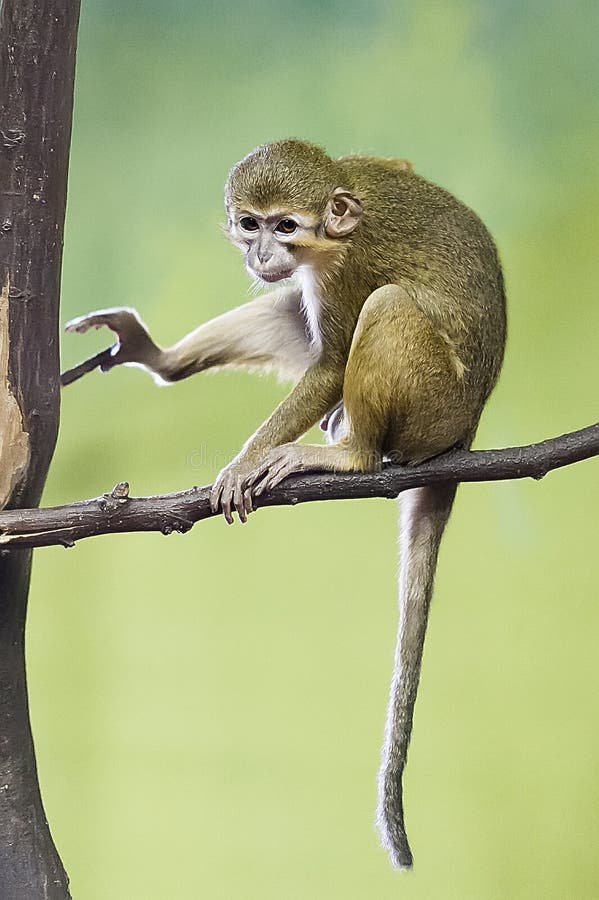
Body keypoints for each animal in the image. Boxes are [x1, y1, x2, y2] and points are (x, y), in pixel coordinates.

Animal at [65, 139, 506, 869]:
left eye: (286, 226)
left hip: (431, 408)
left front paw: (244, 462)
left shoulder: (345, 268)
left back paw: (351, 454)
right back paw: (165, 359)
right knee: (290, 309)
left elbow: (332, 357)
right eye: (251, 224)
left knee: (386, 306)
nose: (263, 254)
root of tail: (467, 430)